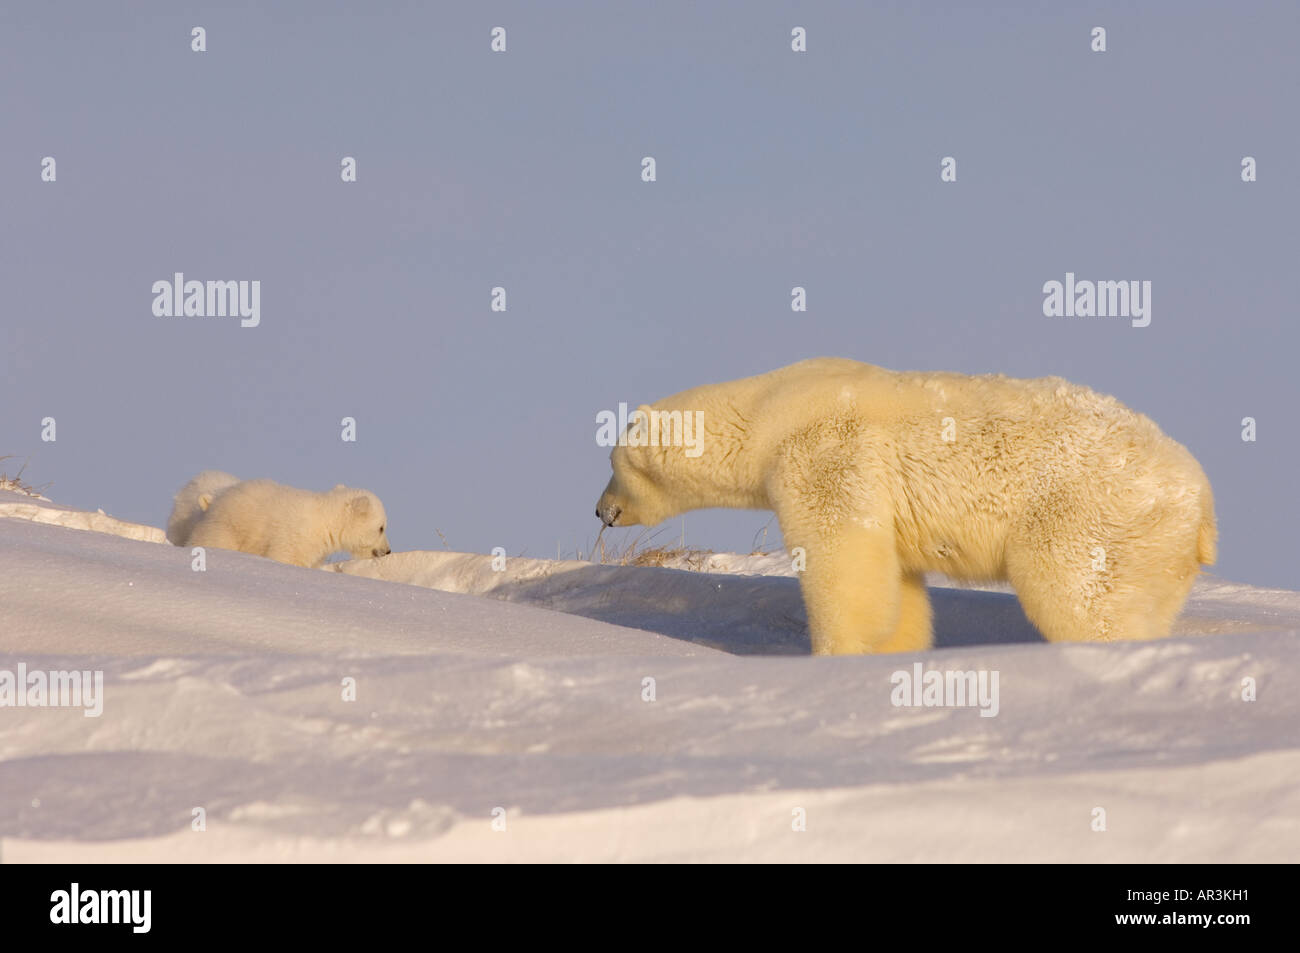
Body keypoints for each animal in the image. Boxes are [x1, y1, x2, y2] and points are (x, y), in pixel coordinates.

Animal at [182, 477, 392, 568]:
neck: (324, 521)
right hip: (226, 529)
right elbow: (286, 557)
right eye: (381, 528)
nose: (388, 550)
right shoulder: (296, 537)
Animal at [594, 358, 1217, 654]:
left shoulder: (827, 452)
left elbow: (842, 555)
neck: (768, 411)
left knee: (1079, 592)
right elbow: (896, 581)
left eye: (613, 465)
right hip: (1156, 548)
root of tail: (1203, 501)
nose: (601, 511)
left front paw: (833, 652)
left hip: (1095, 511)